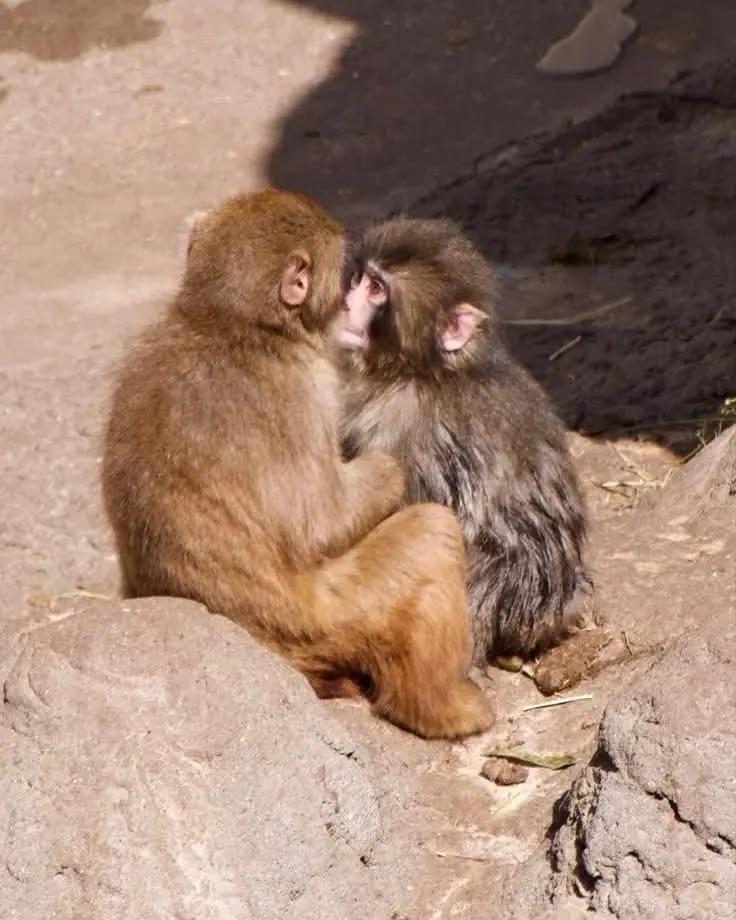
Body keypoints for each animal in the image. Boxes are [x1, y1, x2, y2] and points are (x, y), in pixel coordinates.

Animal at [100, 189, 492, 741]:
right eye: (345, 275)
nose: (347, 304)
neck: (228, 322)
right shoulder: (306, 391)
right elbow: (321, 523)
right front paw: (390, 466)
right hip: (327, 621)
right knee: (430, 536)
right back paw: (442, 709)